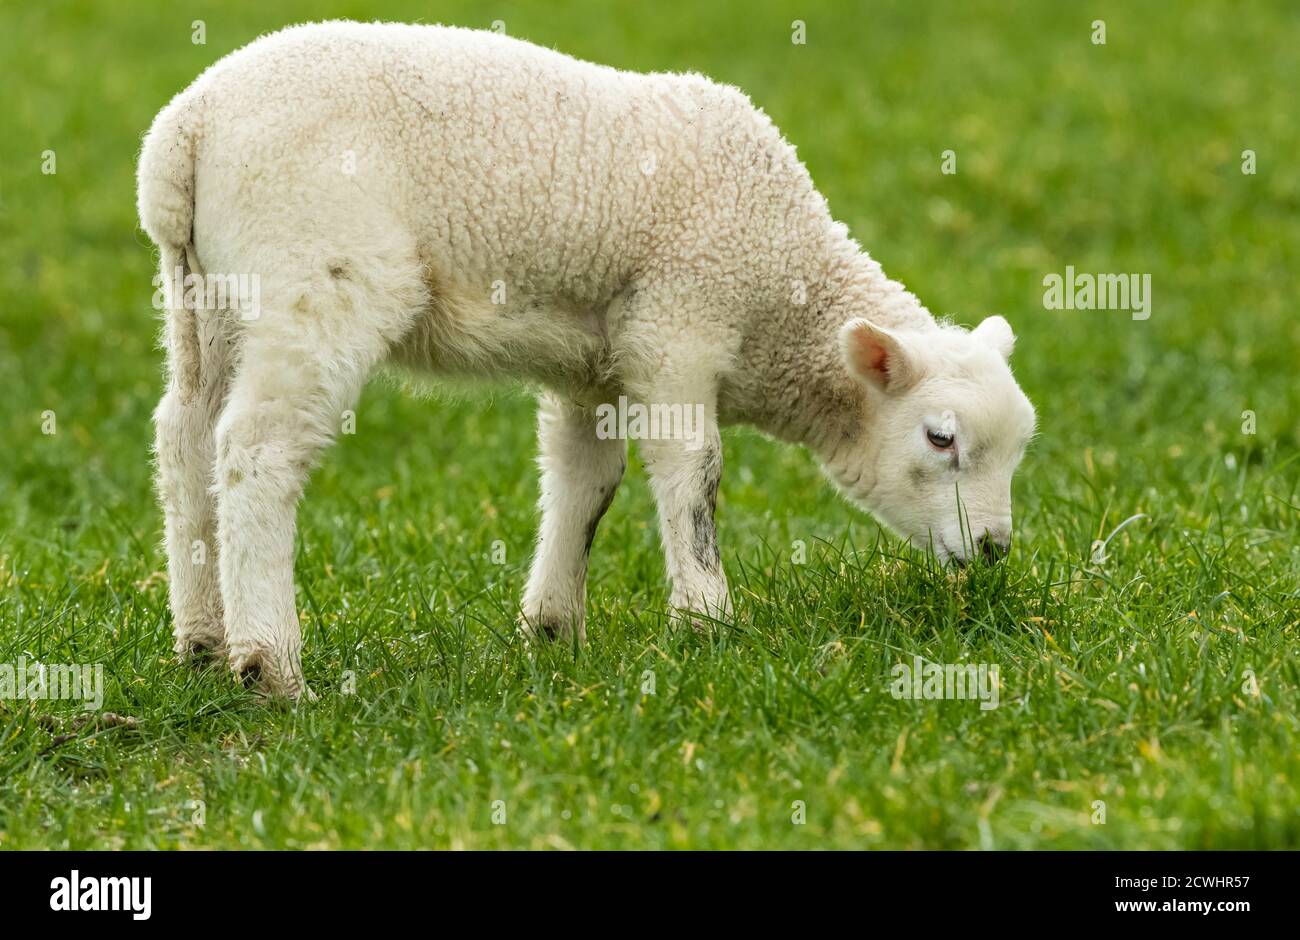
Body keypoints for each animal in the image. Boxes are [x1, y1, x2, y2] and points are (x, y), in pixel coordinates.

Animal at [137, 21, 1037, 698]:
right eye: (940, 439)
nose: (996, 550)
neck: (782, 292)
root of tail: (187, 132)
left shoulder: (592, 366)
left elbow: (585, 481)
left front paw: (551, 628)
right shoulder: (680, 319)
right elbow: (693, 471)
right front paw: (706, 621)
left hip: (205, 297)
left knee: (185, 439)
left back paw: (202, 644)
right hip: (316, 276)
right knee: (257, 452)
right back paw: (271, 666)